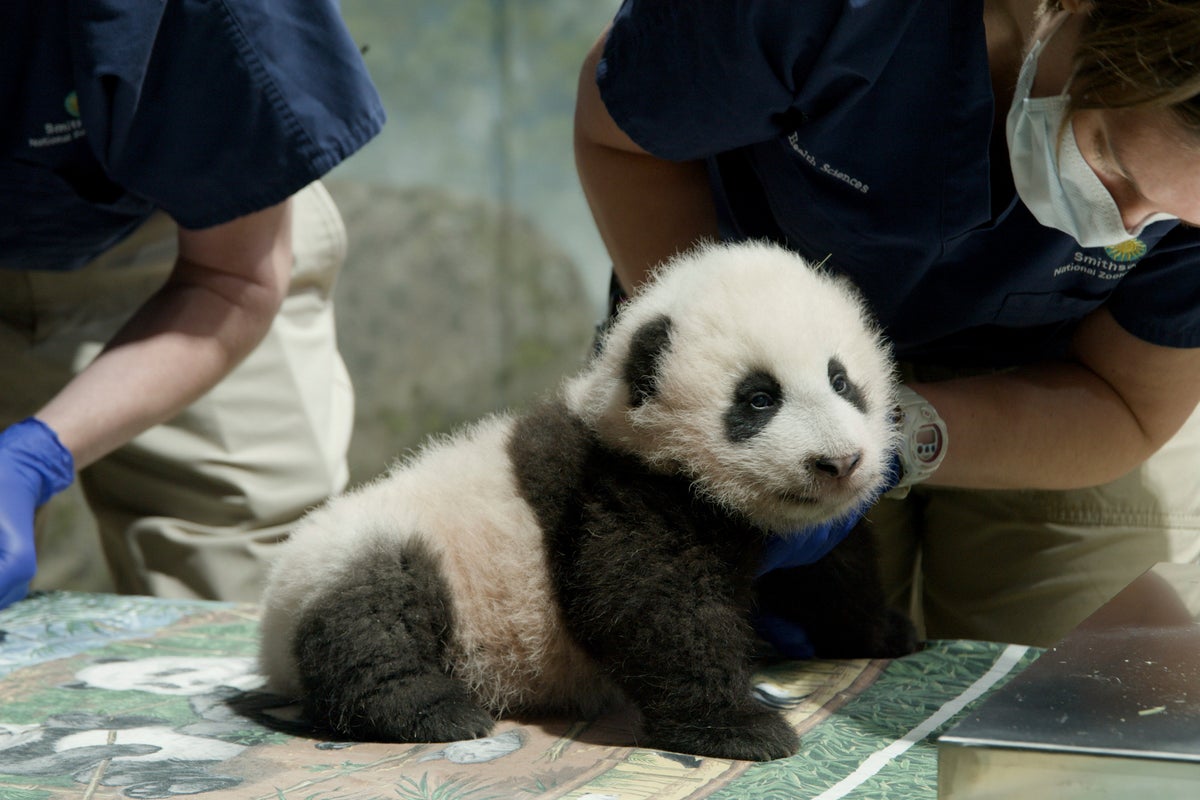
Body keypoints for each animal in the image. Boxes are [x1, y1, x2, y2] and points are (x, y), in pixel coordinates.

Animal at [258, 240, 916, 762]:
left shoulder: (798, 537)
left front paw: (882, 633)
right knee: (374, 615)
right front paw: (742, 728)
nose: (840, 463)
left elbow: (834, 572)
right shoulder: (619, 490)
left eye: (841, 381)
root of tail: (269, 642)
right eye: (759, 399)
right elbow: (651, 605)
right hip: (364, 554)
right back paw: (434, 710)